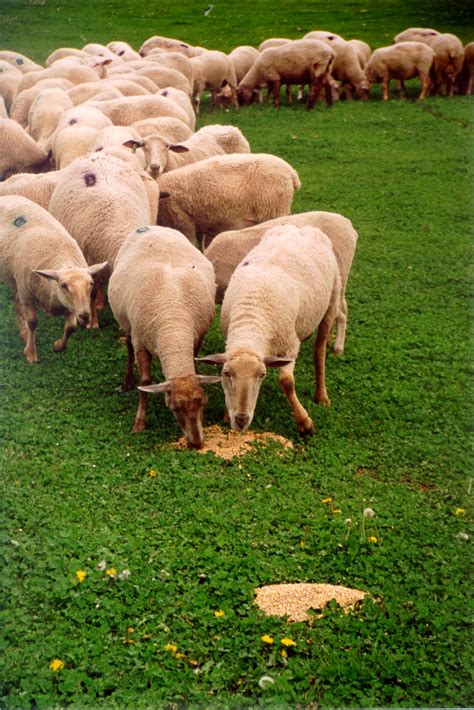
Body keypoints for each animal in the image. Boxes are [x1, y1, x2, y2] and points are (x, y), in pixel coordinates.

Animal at [0, 195, 107, 361]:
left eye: (91, 284)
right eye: (63, 285)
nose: (85, 315)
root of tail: (7, 196)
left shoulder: (71, 306)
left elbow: (71, 327)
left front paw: (58, 346)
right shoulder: (27, 295)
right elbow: (32, 322)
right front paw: (31, 353)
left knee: (16, 301)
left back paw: (23, 333)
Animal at [108, 226, 220, 446]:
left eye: (203, 401)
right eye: (174, 408)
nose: (196, 443)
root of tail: (152, 227)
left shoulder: (197, 339)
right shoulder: (141, 343)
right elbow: (145, 382)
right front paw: (140, 422)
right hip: (127, 325)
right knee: (128, 348)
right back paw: (127, 381)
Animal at [198, 224, 341, 435]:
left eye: (262, 375)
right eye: (226, 374)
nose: (241, 420)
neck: (252, 317)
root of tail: (302, 227)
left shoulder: (290, 344)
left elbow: (286, 382)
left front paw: (305, 422)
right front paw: (227, 413)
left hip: (332, 300)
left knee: (320, 351)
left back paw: (321, 396)